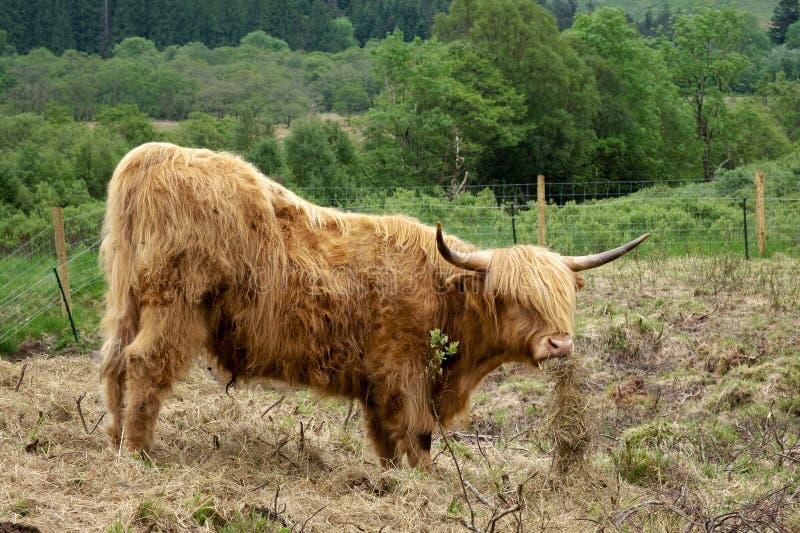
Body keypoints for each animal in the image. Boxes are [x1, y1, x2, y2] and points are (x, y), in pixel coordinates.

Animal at [99, 142, 648, 470]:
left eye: (562, 298)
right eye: (512, 297)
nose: (560, 344)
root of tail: (157, 154)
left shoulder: (375, 385)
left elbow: (385, 442)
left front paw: (389, 479)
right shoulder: (404, 375)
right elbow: (418, 438)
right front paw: (425, 483)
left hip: (128, 301)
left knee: (114, 363)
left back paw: (113, 437)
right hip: (177, 306)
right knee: (145, 363)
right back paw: (137, 454)